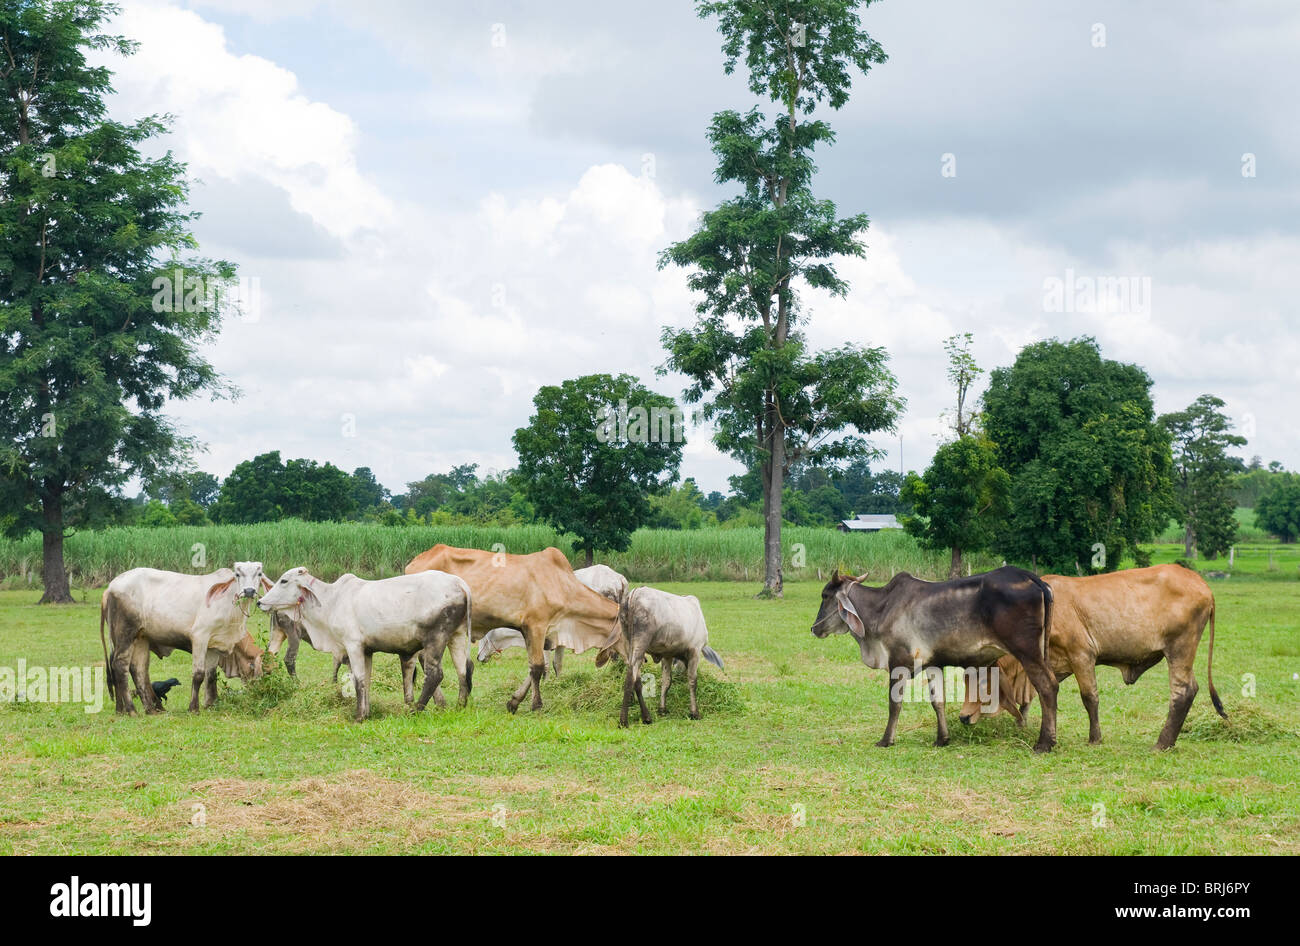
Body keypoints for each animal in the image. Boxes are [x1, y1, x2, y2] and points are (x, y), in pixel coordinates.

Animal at [99, 563, 270, 715]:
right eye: (238, 574)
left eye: (259, 574)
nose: (249, 591)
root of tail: (110, 588)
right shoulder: (200, 637)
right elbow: (199, 674)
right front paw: (194, 708)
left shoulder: (214, 645)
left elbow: (211, 676)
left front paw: (211, 704)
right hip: (125, 635)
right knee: (120, 666)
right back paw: (131, 710)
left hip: (140, 638)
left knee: (139, 670)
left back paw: (146, 709)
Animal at [257, 567, 472, 721]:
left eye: (284, 581)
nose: (260, 602)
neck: (332, 601)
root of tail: (459, 583)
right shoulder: (367, 651)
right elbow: (366, 681)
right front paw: (367, 713)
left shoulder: (353, 646)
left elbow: (358, 680)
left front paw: (359, 717)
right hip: (457, 636)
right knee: (463, 670)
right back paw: (460, 707)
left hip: (436, 638)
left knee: (435, 674)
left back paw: (417, 710)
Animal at [616, 586, 723, 727]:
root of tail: (635, 593)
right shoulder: (695, 651)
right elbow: (692, 681)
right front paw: (694, 713)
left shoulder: (667, 655)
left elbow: (666, 681)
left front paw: (662, 709)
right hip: (641, 641)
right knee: (630, 678)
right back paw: (624, 721)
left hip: (628, 642)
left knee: (637, 680)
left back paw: (646, 716)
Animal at [811, 567, 1060, 752]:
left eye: (825, 596)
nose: (814, 628)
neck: (881, 608)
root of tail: (1030, 577)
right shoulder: (934, 665)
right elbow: (938, 701)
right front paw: (942, 738)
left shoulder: (897, 663)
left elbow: (894, 704)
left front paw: (886, 740)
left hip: (1027, 652)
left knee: (1047, 686)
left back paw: (1044, 743)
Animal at [958, 565, 1226, 749]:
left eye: (983, 682)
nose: (963, 716)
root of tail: (1201, 584)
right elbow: (1038, 698)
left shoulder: (1082, 654)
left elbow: (1089, 698)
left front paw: (1094, 738)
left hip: (1180, 649)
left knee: (1183, 691)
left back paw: (1162, 743)